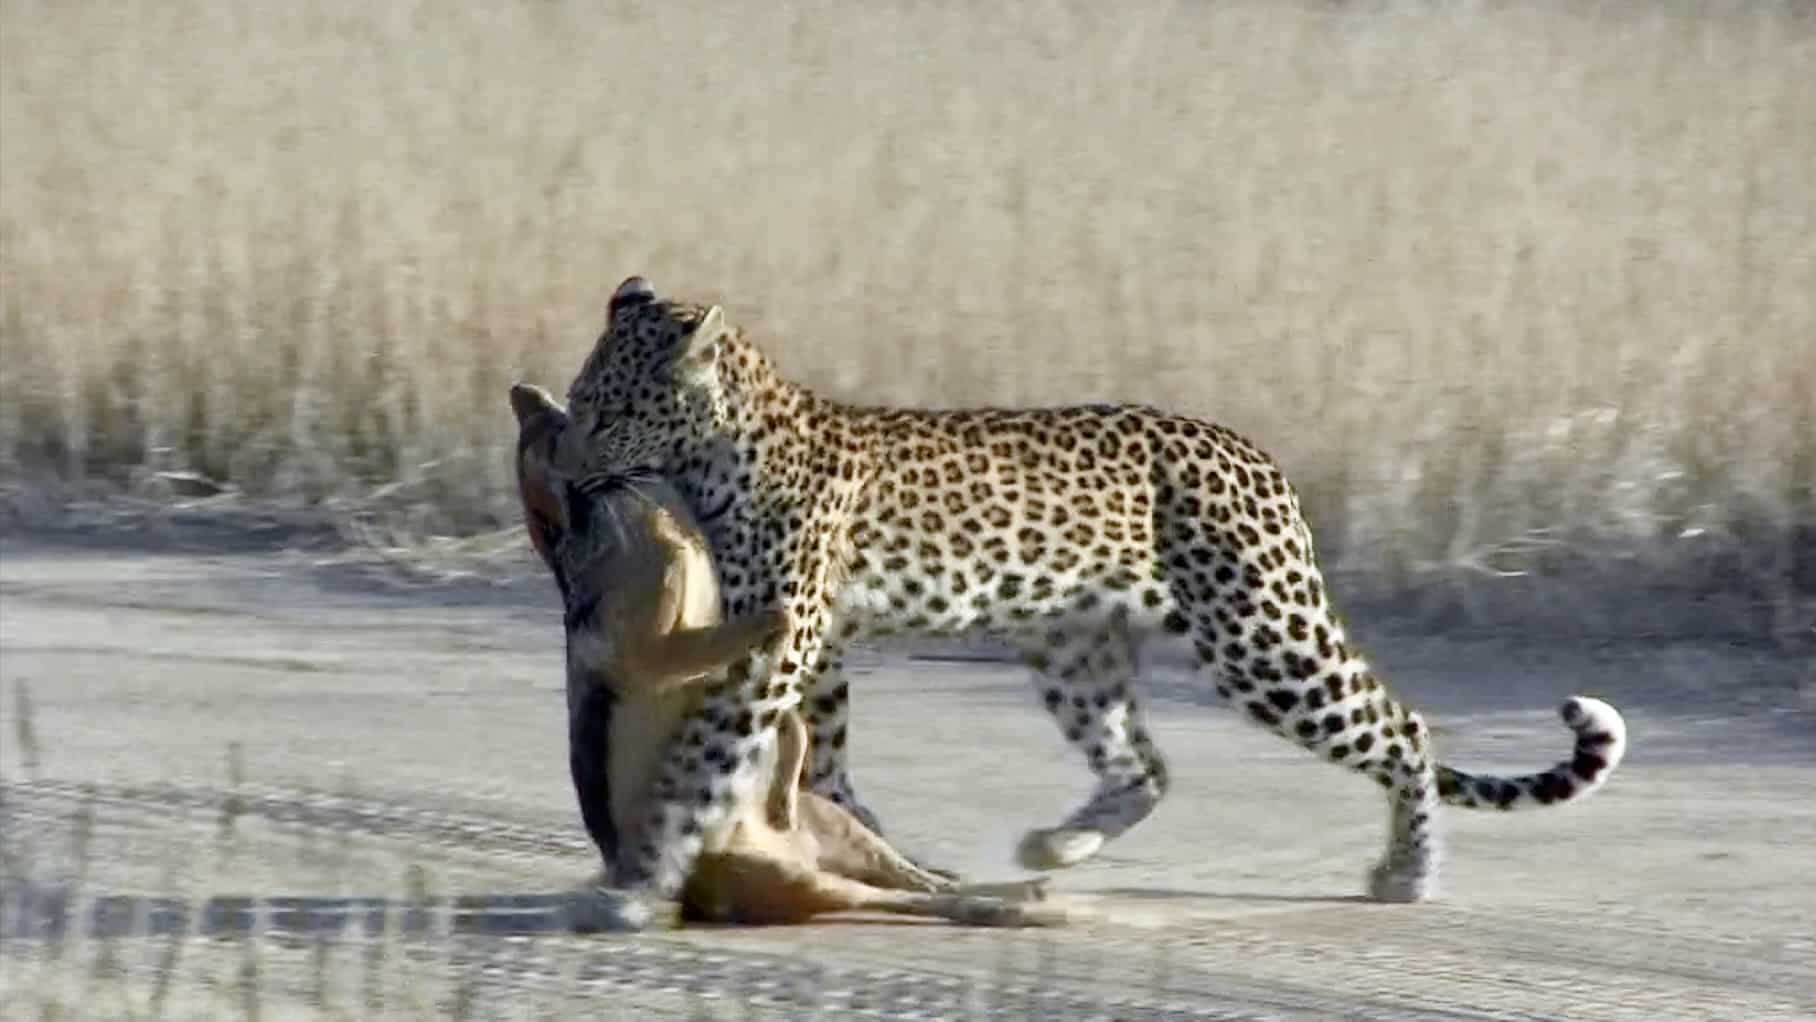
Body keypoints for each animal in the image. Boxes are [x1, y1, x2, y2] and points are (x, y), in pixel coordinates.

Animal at [511, 381, 1055, 926]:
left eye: (546, 423)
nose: (522, 392)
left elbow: (782, 707)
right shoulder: (657, 650)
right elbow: (738, 627)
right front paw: (779, 617)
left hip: (841, 837)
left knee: (919, 882)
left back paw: (1016, 892)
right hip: (816, 881)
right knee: (911, 898)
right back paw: (1016, 905)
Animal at [557, 276, 1630, 904]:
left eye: (604, 412)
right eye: (576, 403)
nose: (563, 464)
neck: (714, 455)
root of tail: (1257, 454)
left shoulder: (782, 641)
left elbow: (709, 752)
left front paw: (651, 867)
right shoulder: (808, 649)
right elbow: (821, 764)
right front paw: (867, 839)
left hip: (1261, 637)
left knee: (1400, 728)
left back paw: (1408, 871)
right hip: (1075, 647)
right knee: (1144, 766)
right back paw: (1053, 850)